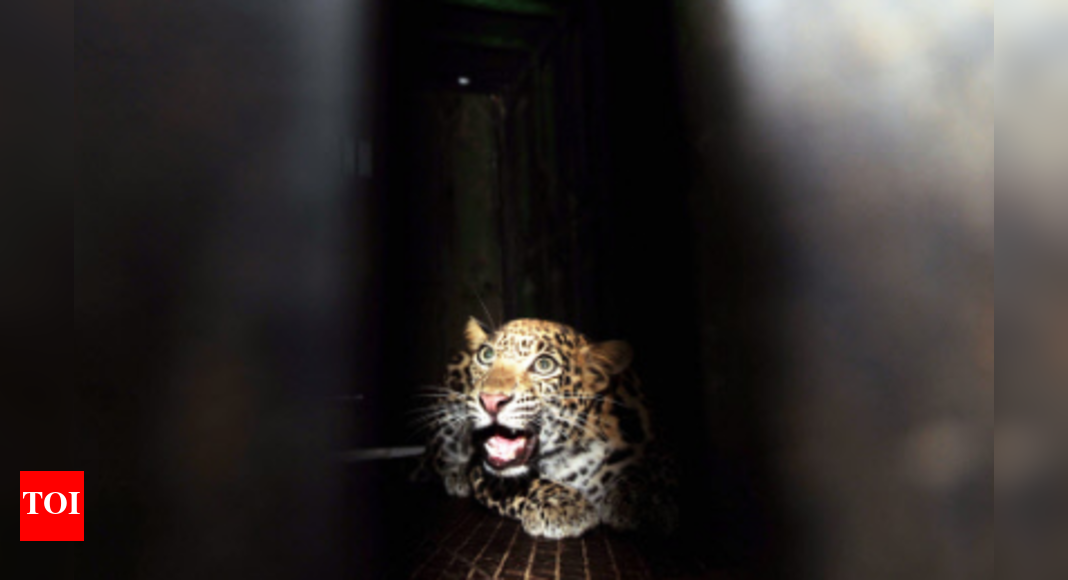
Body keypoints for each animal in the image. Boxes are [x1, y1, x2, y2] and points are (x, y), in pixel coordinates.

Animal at [414, 317, 677, 539]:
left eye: (544, 365)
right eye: (486, 355)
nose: (490, 400)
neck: (571, 456)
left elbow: (649, 473)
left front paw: (643, 501)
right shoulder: (482, 470)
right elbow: (523, 482)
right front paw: (563, 505)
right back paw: (455, 474)